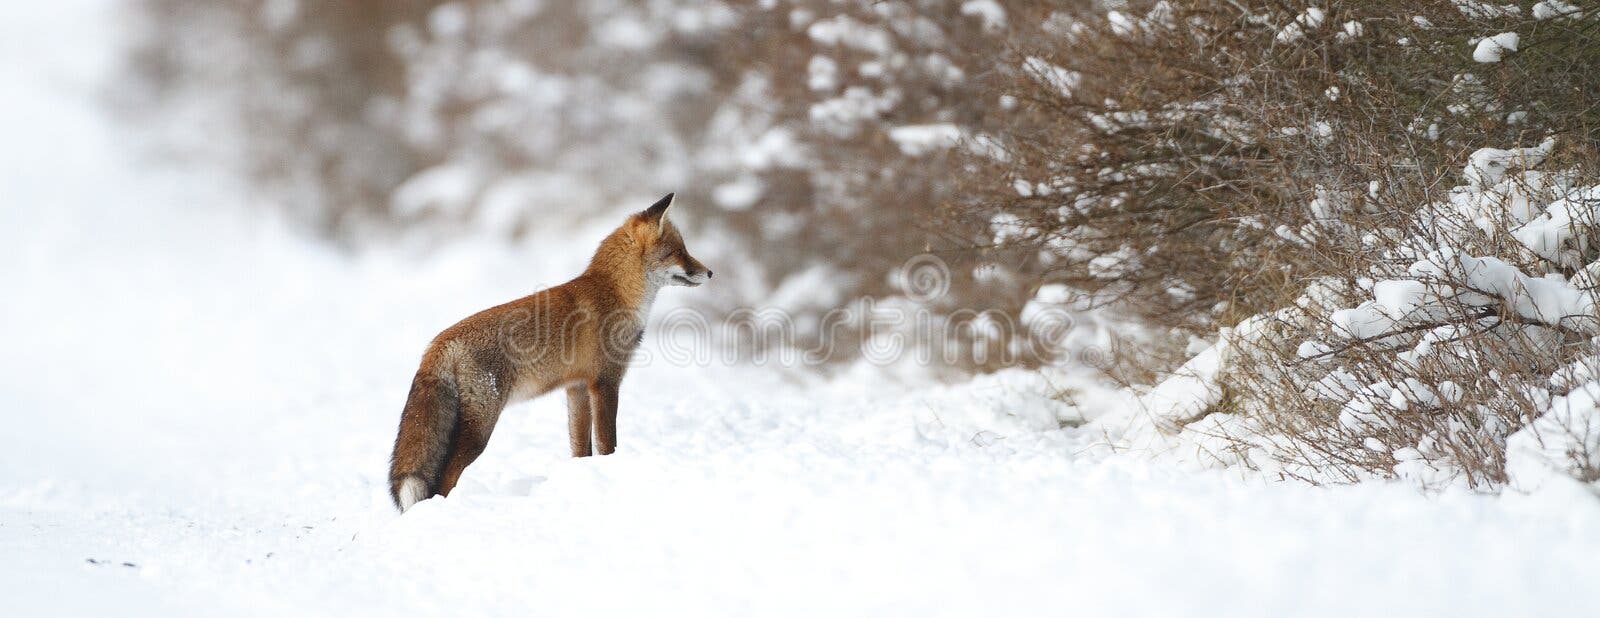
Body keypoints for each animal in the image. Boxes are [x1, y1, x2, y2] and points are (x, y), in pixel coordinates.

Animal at [388, 193, 711, 511]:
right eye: (678, 251)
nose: (710, 272)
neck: (615, 293)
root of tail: (437, 343)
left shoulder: (577, 387)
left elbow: (581, 448)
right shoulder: (605, 383)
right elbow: (608, 444)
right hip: (479, 430)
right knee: (443, 479)